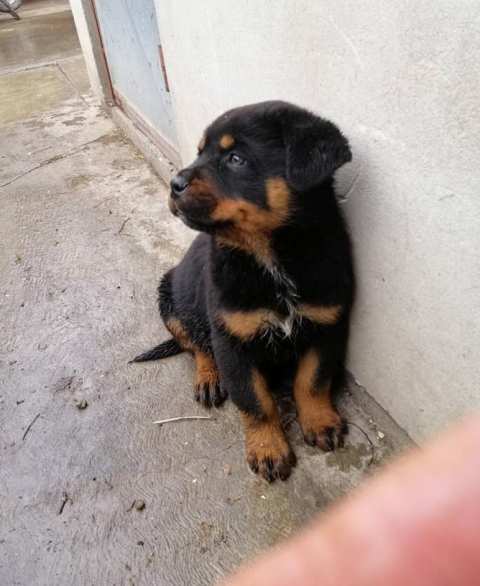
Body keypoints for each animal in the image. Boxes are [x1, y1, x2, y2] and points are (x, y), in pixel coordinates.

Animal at [133, 100, 354, 482]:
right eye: (200, 152)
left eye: (235, 158)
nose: (175, 183)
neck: (269, 257)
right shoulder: (231, 338)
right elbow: (255, 401)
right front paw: (267, 448)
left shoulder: (326, 325)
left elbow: (312, 380)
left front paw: (320, 422)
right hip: (169, 299)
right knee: (195, 344)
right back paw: (209, 379)